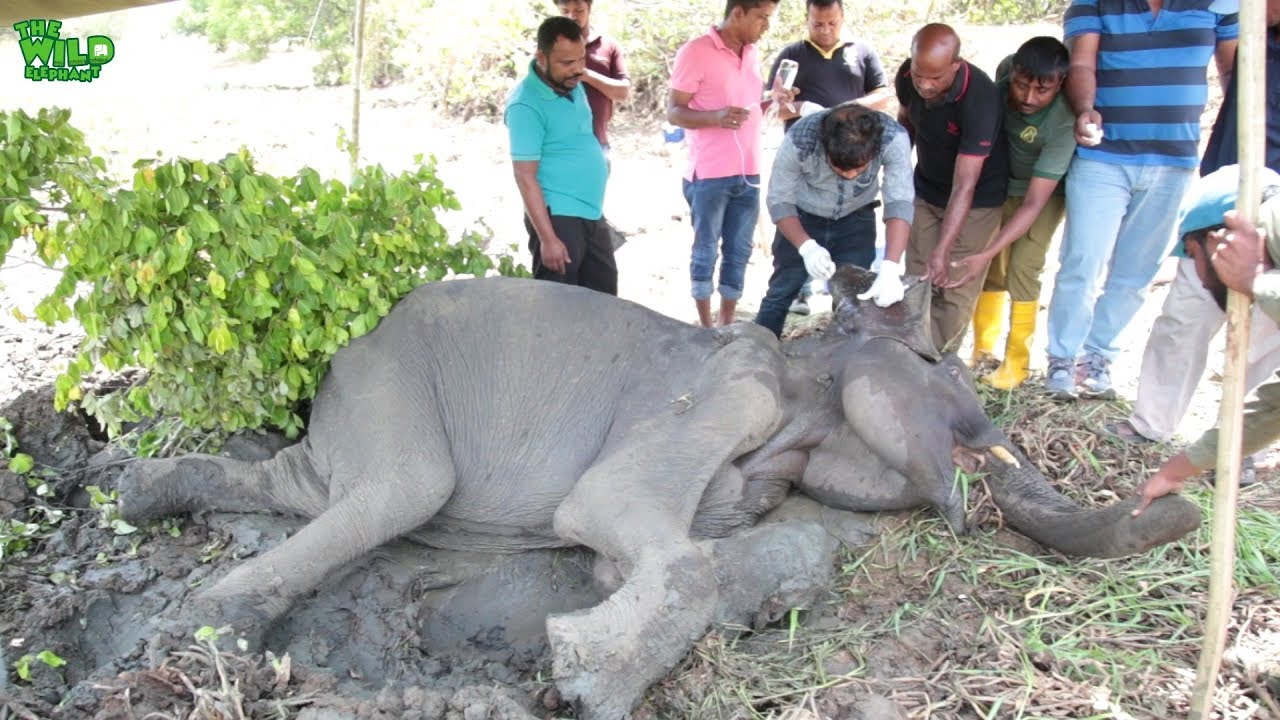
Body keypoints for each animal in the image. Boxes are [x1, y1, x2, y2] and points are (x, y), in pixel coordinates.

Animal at [115, 267, 1200, 719]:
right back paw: (205, 638)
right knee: (390, 489)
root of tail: (346, 357)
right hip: (393, 384)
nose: (1186, 505)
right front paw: (585, 683)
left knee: (308, 486)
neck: (804, 376)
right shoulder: (728, 393)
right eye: (935, 361)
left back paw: (142, 495)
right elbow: (610, 522)